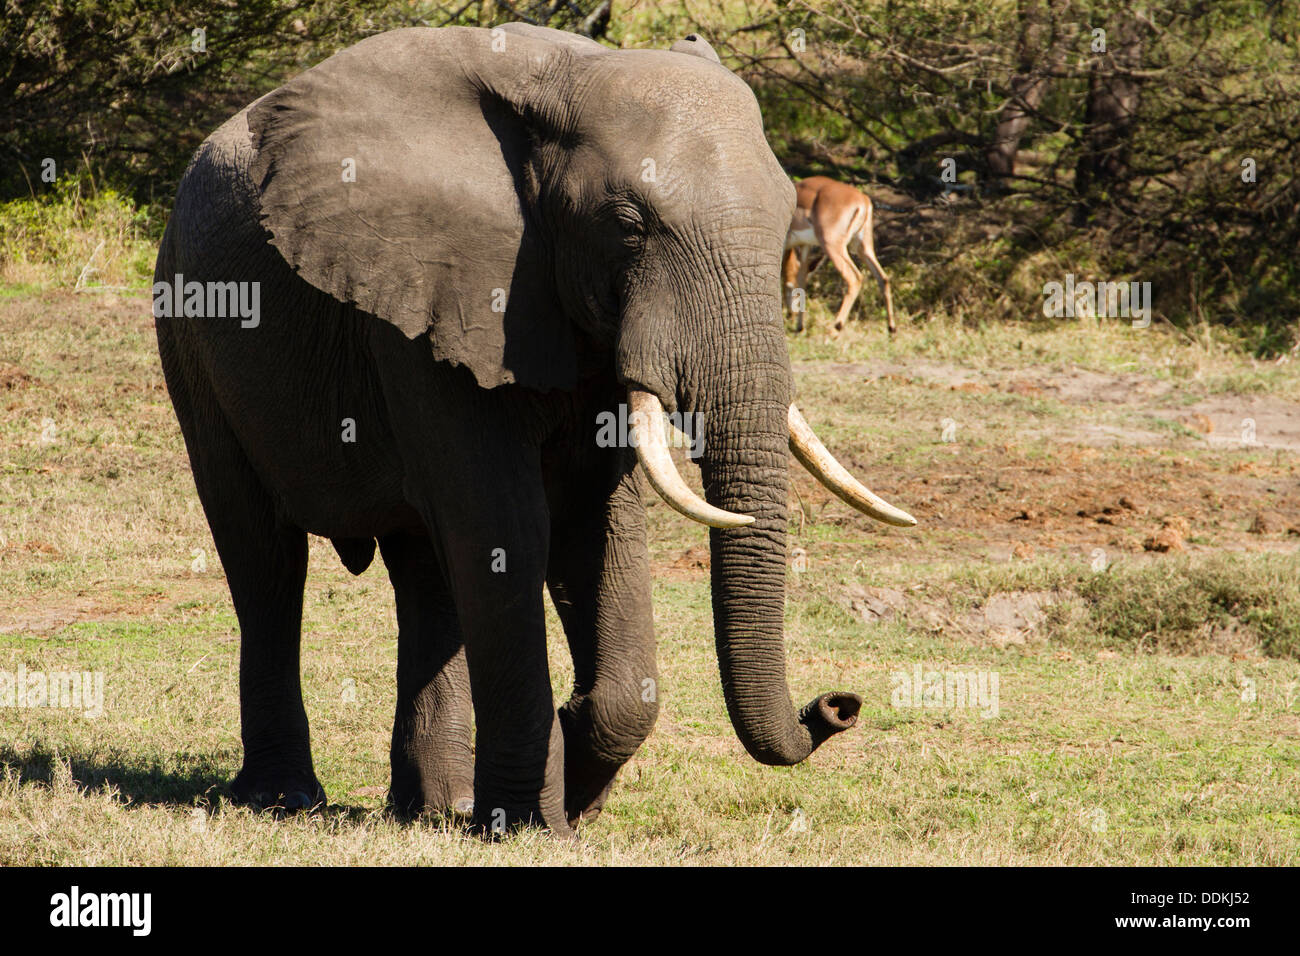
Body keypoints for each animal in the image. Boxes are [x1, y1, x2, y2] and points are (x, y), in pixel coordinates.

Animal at [152, 23, 916, 837]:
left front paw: (572, 770)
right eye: (626, 228)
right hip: (192, 333)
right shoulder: (431, 297)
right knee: (265, 558)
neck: (566, 79)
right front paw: (533, 818)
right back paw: (285, 799)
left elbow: (594, 522)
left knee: (426, 571)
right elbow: (507, 527)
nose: (837, 705)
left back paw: (436, 807)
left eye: (782, 223)